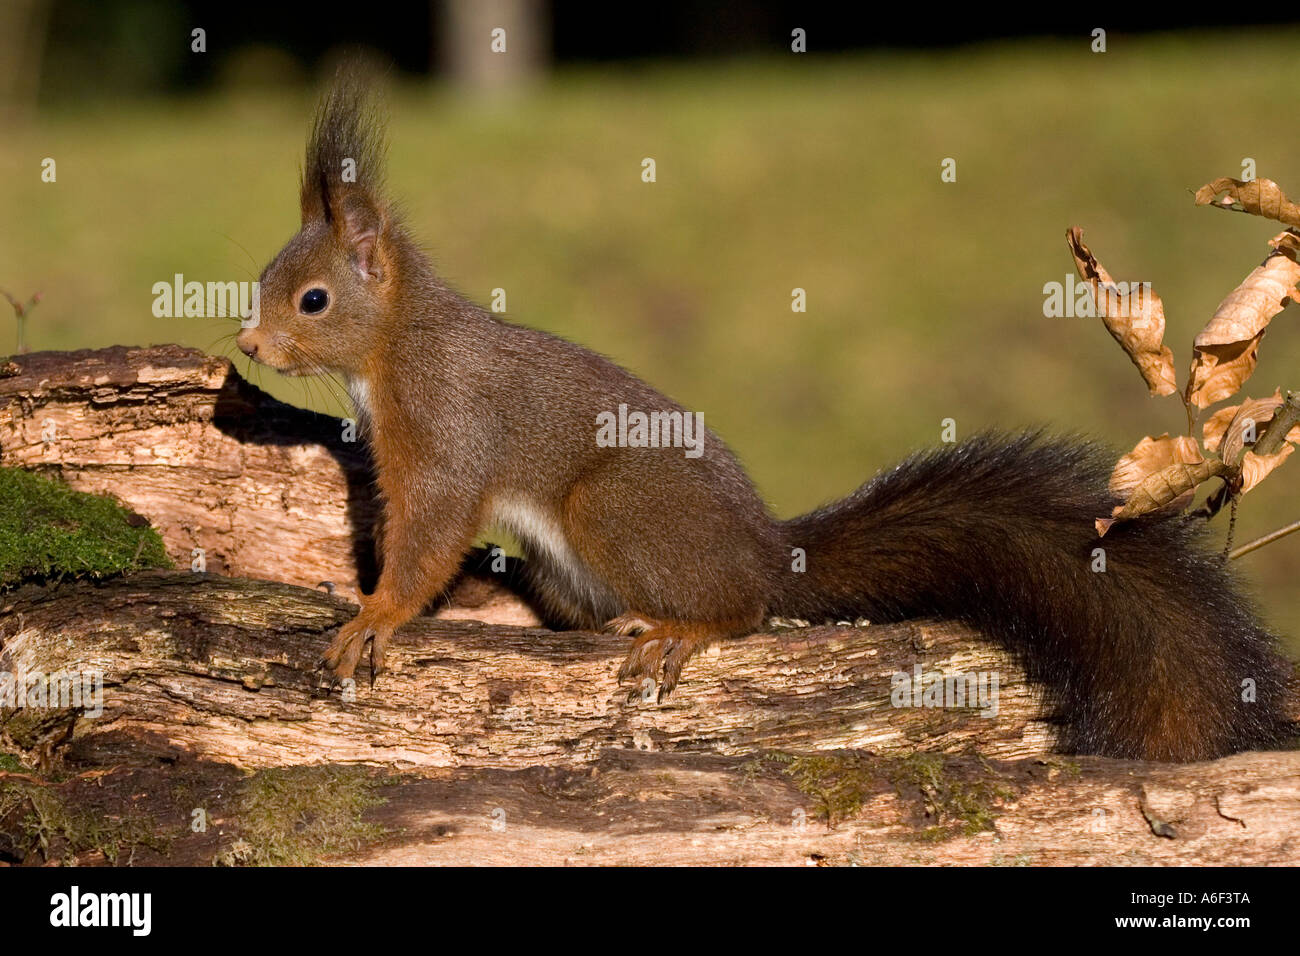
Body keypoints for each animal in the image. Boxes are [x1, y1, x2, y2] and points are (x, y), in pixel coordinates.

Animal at [236, 70, 1295, 762]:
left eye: (313, 300)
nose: (248, 347)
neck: (392, 347)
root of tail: (764, 550)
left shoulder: (448, 434)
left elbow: (428, 539)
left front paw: (376, 615)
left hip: (612, 510)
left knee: (739, 612)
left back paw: (679, 627)